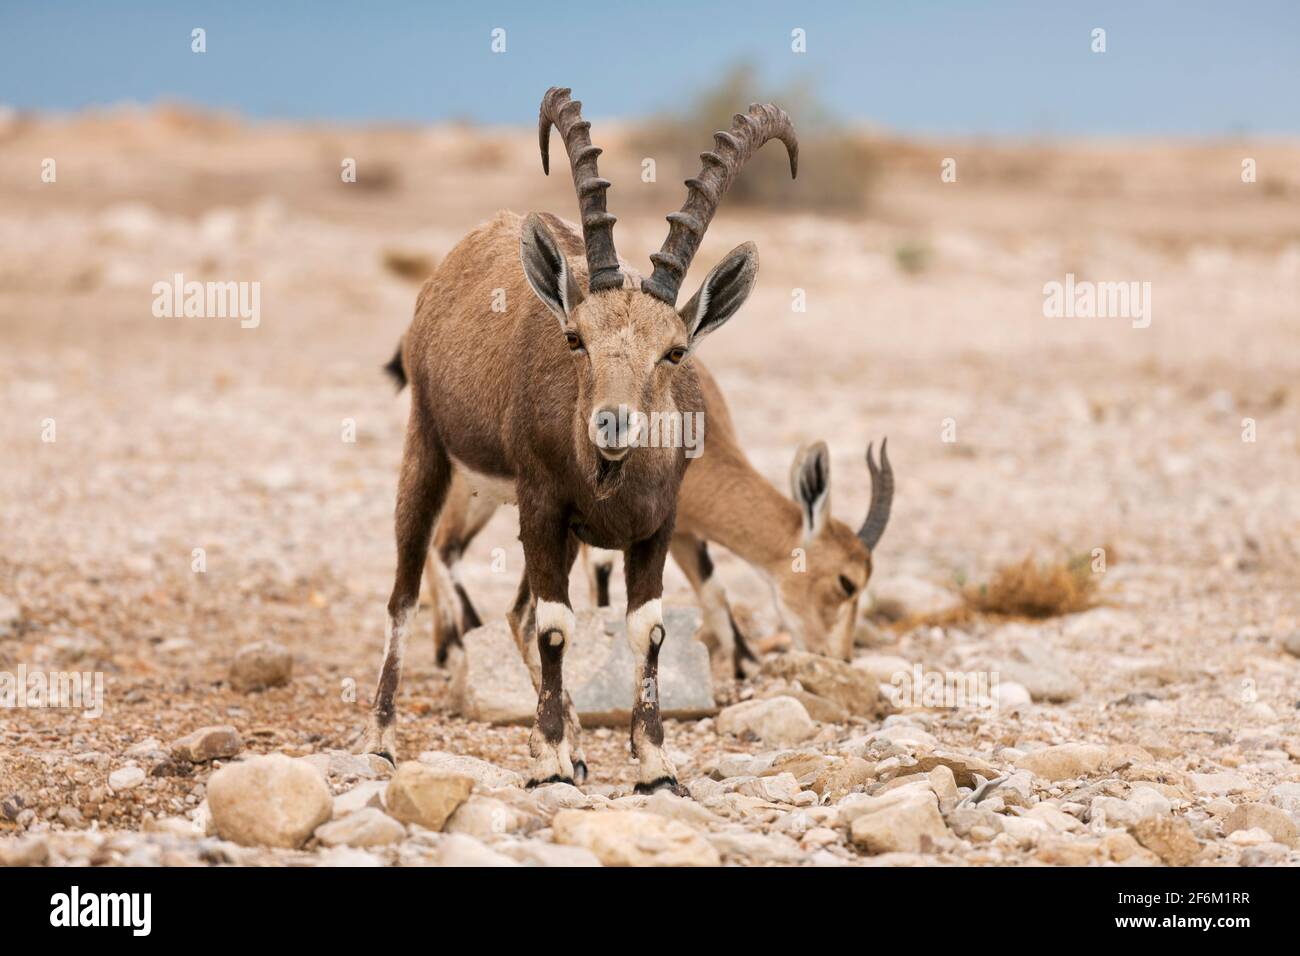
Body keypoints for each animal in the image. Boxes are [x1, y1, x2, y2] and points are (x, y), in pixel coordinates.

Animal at [362, 88, 799, 794]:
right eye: (575, 338)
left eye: (675, 351)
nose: (612, 423)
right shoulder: (542, 506)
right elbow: (557, 628)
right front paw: (545, 762)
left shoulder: (657, 523)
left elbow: (647, 630)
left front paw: (654, 766)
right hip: (427, 449)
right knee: (405, 594)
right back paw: (381, 742)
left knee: (514, 613)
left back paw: (576, 746)